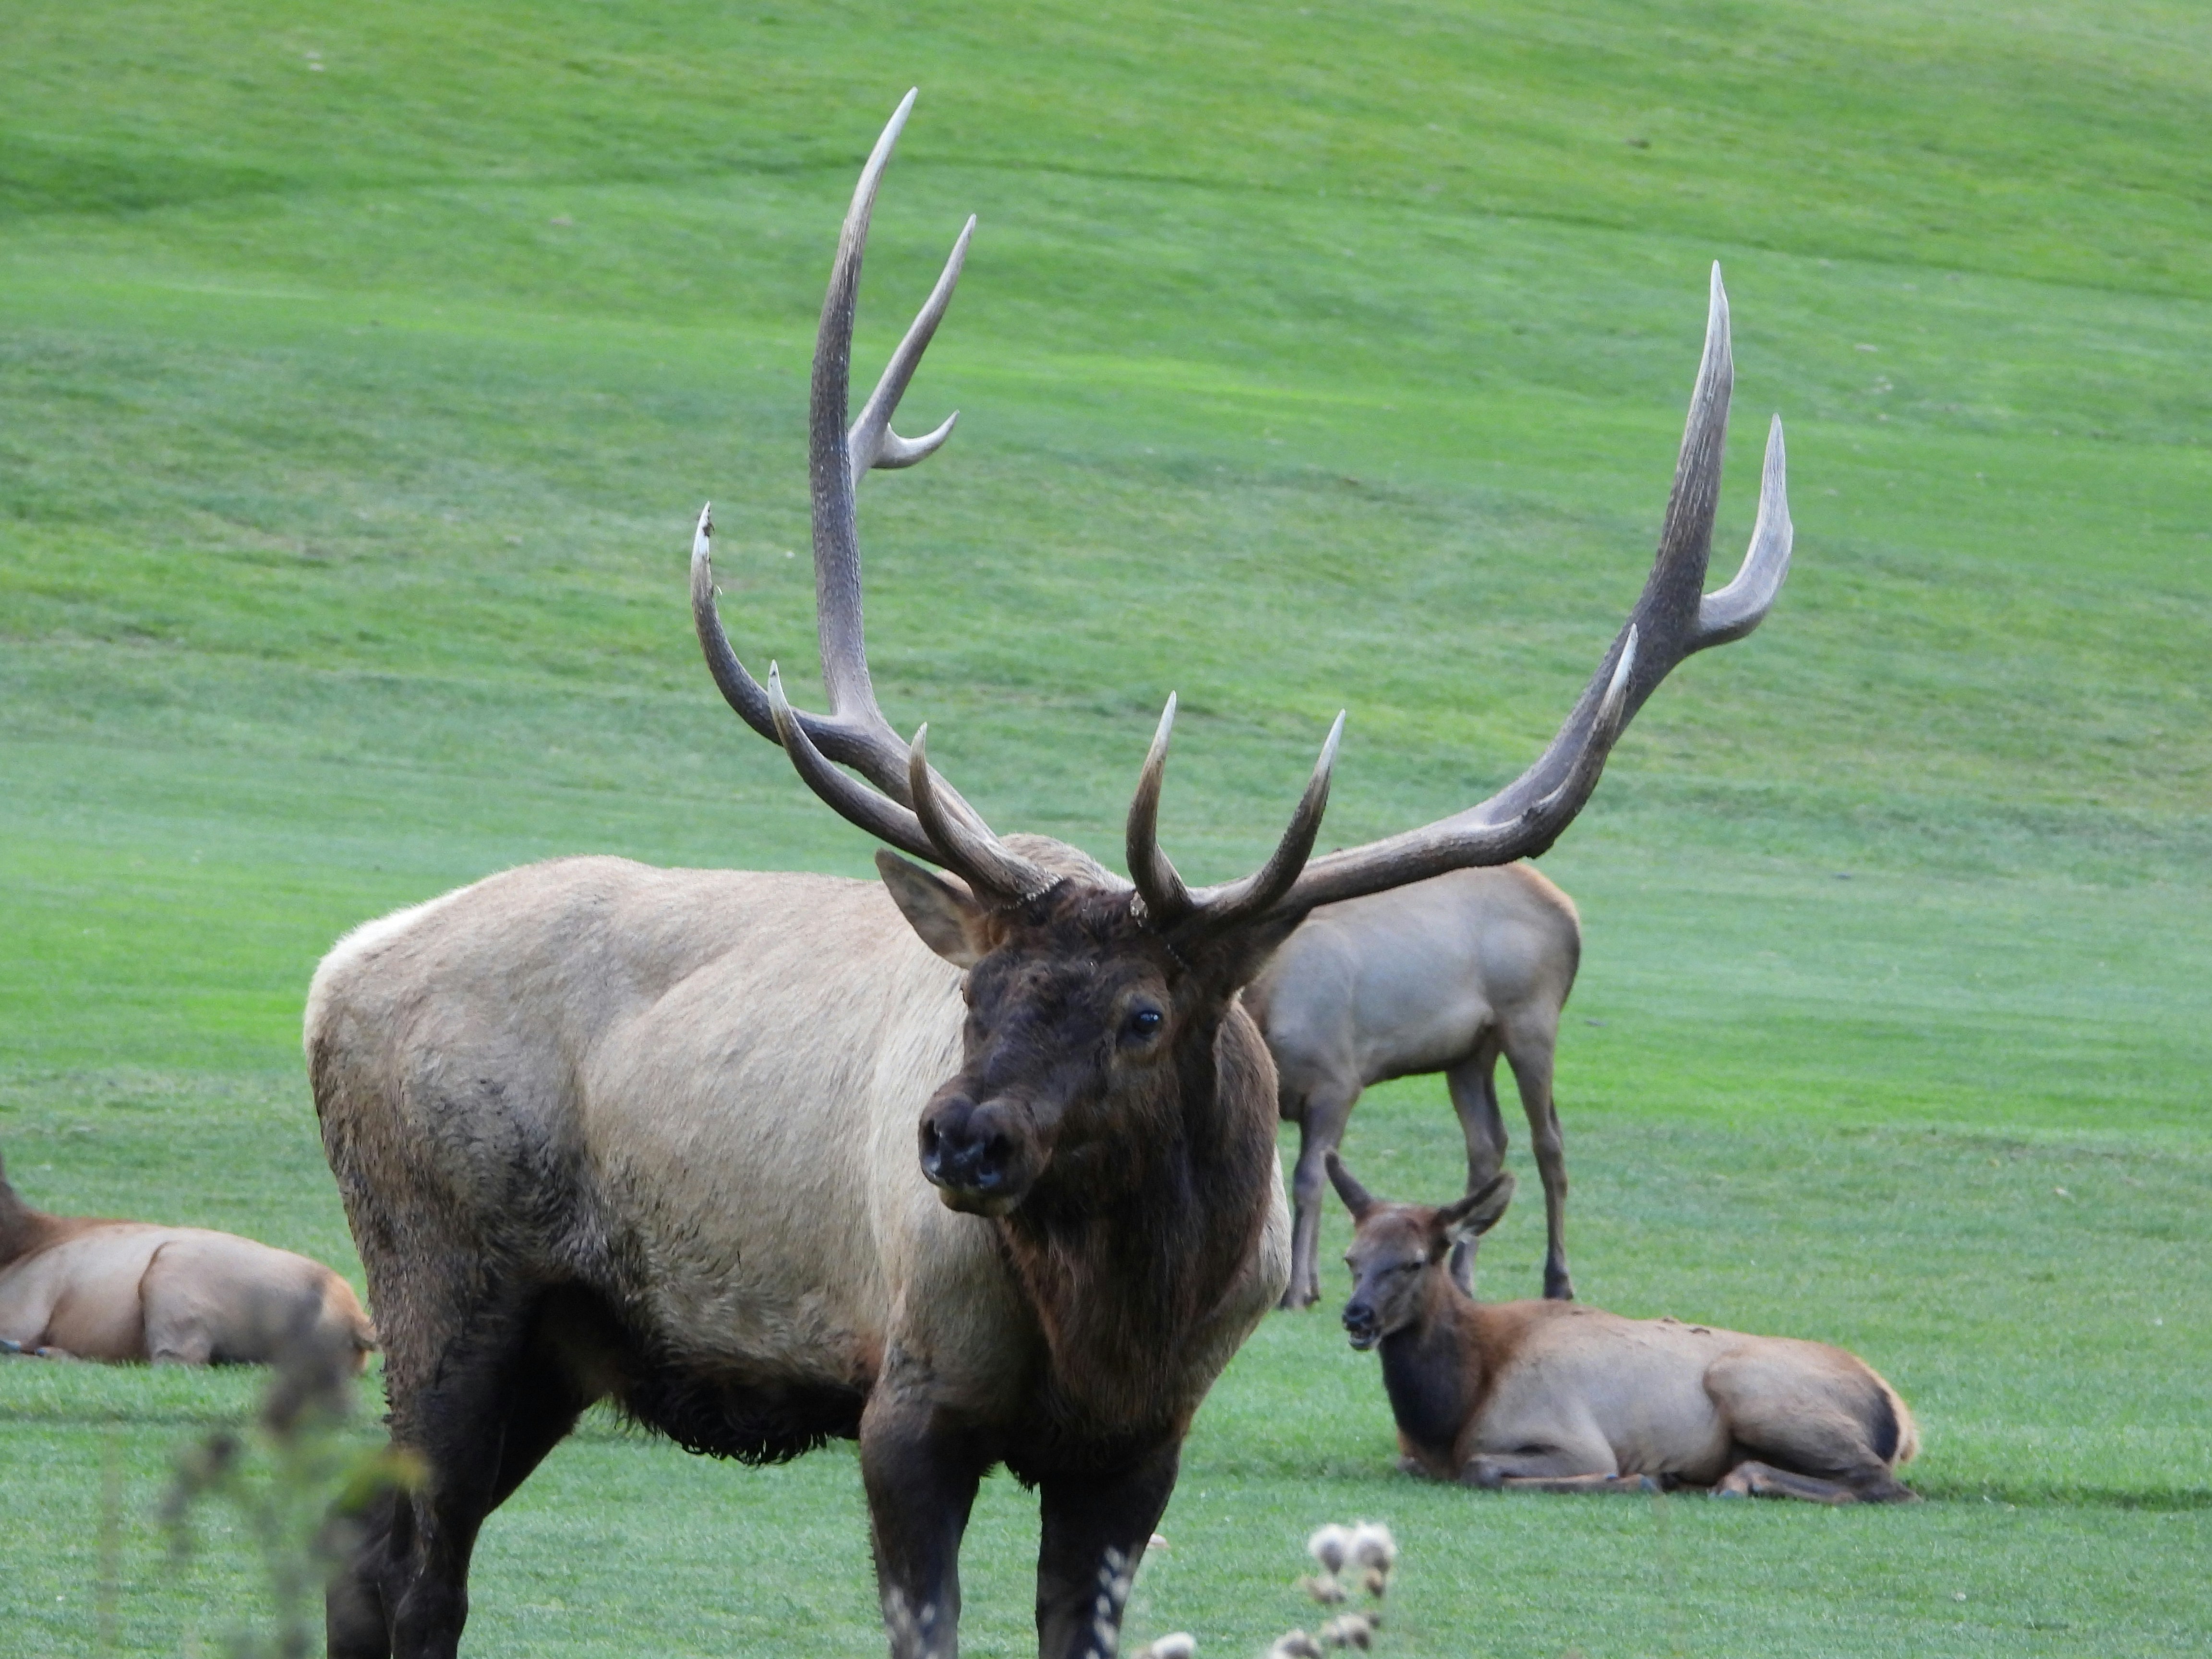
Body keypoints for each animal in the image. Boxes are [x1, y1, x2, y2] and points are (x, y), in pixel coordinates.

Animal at [1247, 864, 1581, 1311]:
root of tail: (1569, 911)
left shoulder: (1337, 1083)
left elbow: (1310, 1181)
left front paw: (1296, 1290)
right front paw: (1310, 1284)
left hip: (1531, 1021)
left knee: (1549, 1143)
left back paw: (1558, 1280)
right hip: (1469, 1052)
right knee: (1488, 1141)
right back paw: (1460, 1275)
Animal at [1328, 1153, 1918, 1502]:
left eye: (1414, 1261)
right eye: (1351, 1258)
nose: (1357, 1316)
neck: (1451, 1408)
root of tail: (1901, 1418)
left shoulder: (1573, 1439)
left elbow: (1483, 1467)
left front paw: (1638, 1478)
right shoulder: (1413, 1456)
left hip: (1746, 1384)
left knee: (1881, 1481)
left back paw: (1735, 1480)